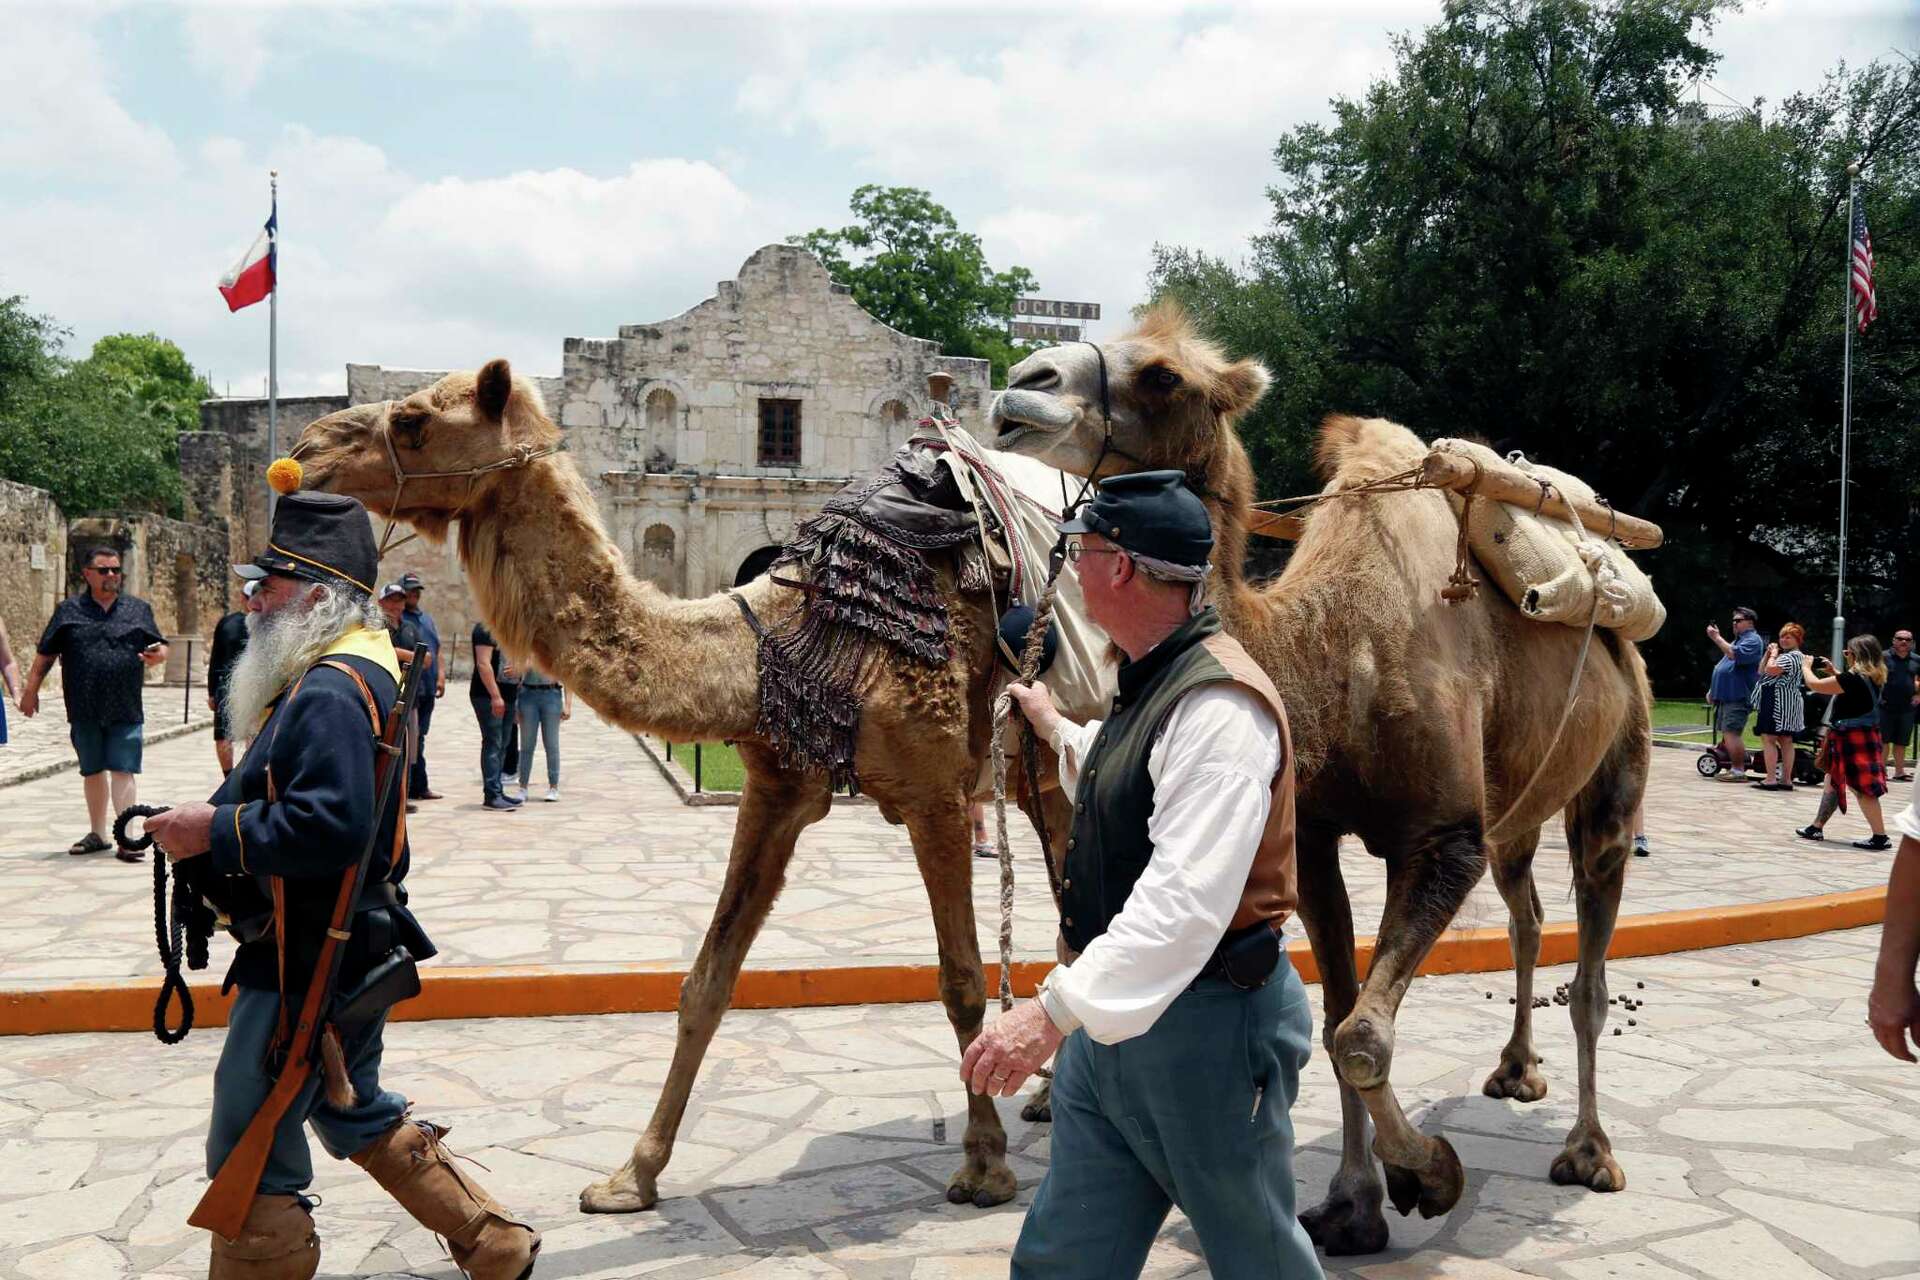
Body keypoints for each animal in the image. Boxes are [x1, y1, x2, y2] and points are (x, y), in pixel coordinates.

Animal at [287, 363, 1089, 1216]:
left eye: (412, 422)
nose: (306, 452)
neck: (779, 632)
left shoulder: (934, 792)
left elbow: (961, 979)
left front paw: (984, 1166)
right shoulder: (778, 789)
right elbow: (707, 980)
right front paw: (629, 1177)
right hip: (1039, 775)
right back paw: (1046, 1097)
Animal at [989, 306, 1652, 1254]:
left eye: (1163, 375)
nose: (1022, 382)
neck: (1324, 657)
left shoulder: (1443, 835)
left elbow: (1362, 1033)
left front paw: (1431, 1175)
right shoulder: (1309, 840)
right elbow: (1338, 1009)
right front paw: (1352, 1206)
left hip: (1616, 768)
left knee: (1593, 961)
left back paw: (1589, 1154)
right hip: (1520, 807)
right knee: (1526, 913)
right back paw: (1515, 1071)